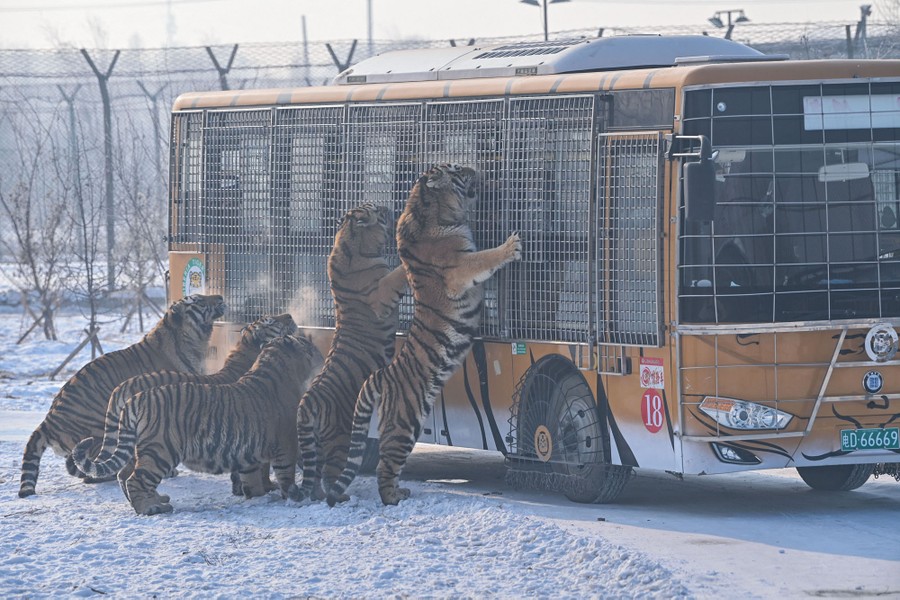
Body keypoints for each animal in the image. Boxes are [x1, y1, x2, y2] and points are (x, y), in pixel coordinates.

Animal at [71, 334, 318, 515]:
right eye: (307, 345)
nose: (316, 349)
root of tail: (135, 398)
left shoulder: (250, 452)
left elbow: (253, 476)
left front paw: (257, 494)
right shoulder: (285, 444)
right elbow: (284, 473)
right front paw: (291, 495)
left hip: (142, 450)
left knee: (126, 474)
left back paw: (156, 500)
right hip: (160, 451)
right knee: (136, 479)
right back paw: (152, 508)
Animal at [296, 202, 407, 501]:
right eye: (378, 209)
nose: (390, 206)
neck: (349, 242)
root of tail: (307, 401)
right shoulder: (383, 292)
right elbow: (400, 273)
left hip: (317, 443)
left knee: (314, 475)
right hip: (339, 438)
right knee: (330, 473)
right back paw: (340, 496)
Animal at [326, 163, 521, 506]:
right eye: (458, 170)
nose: (476, 168)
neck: (432, 211)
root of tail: (381, 376)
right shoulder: (460, 269)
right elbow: (485, 258)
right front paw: (512, 246)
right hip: (405, 423)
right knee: (386, 466)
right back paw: (395, 497)